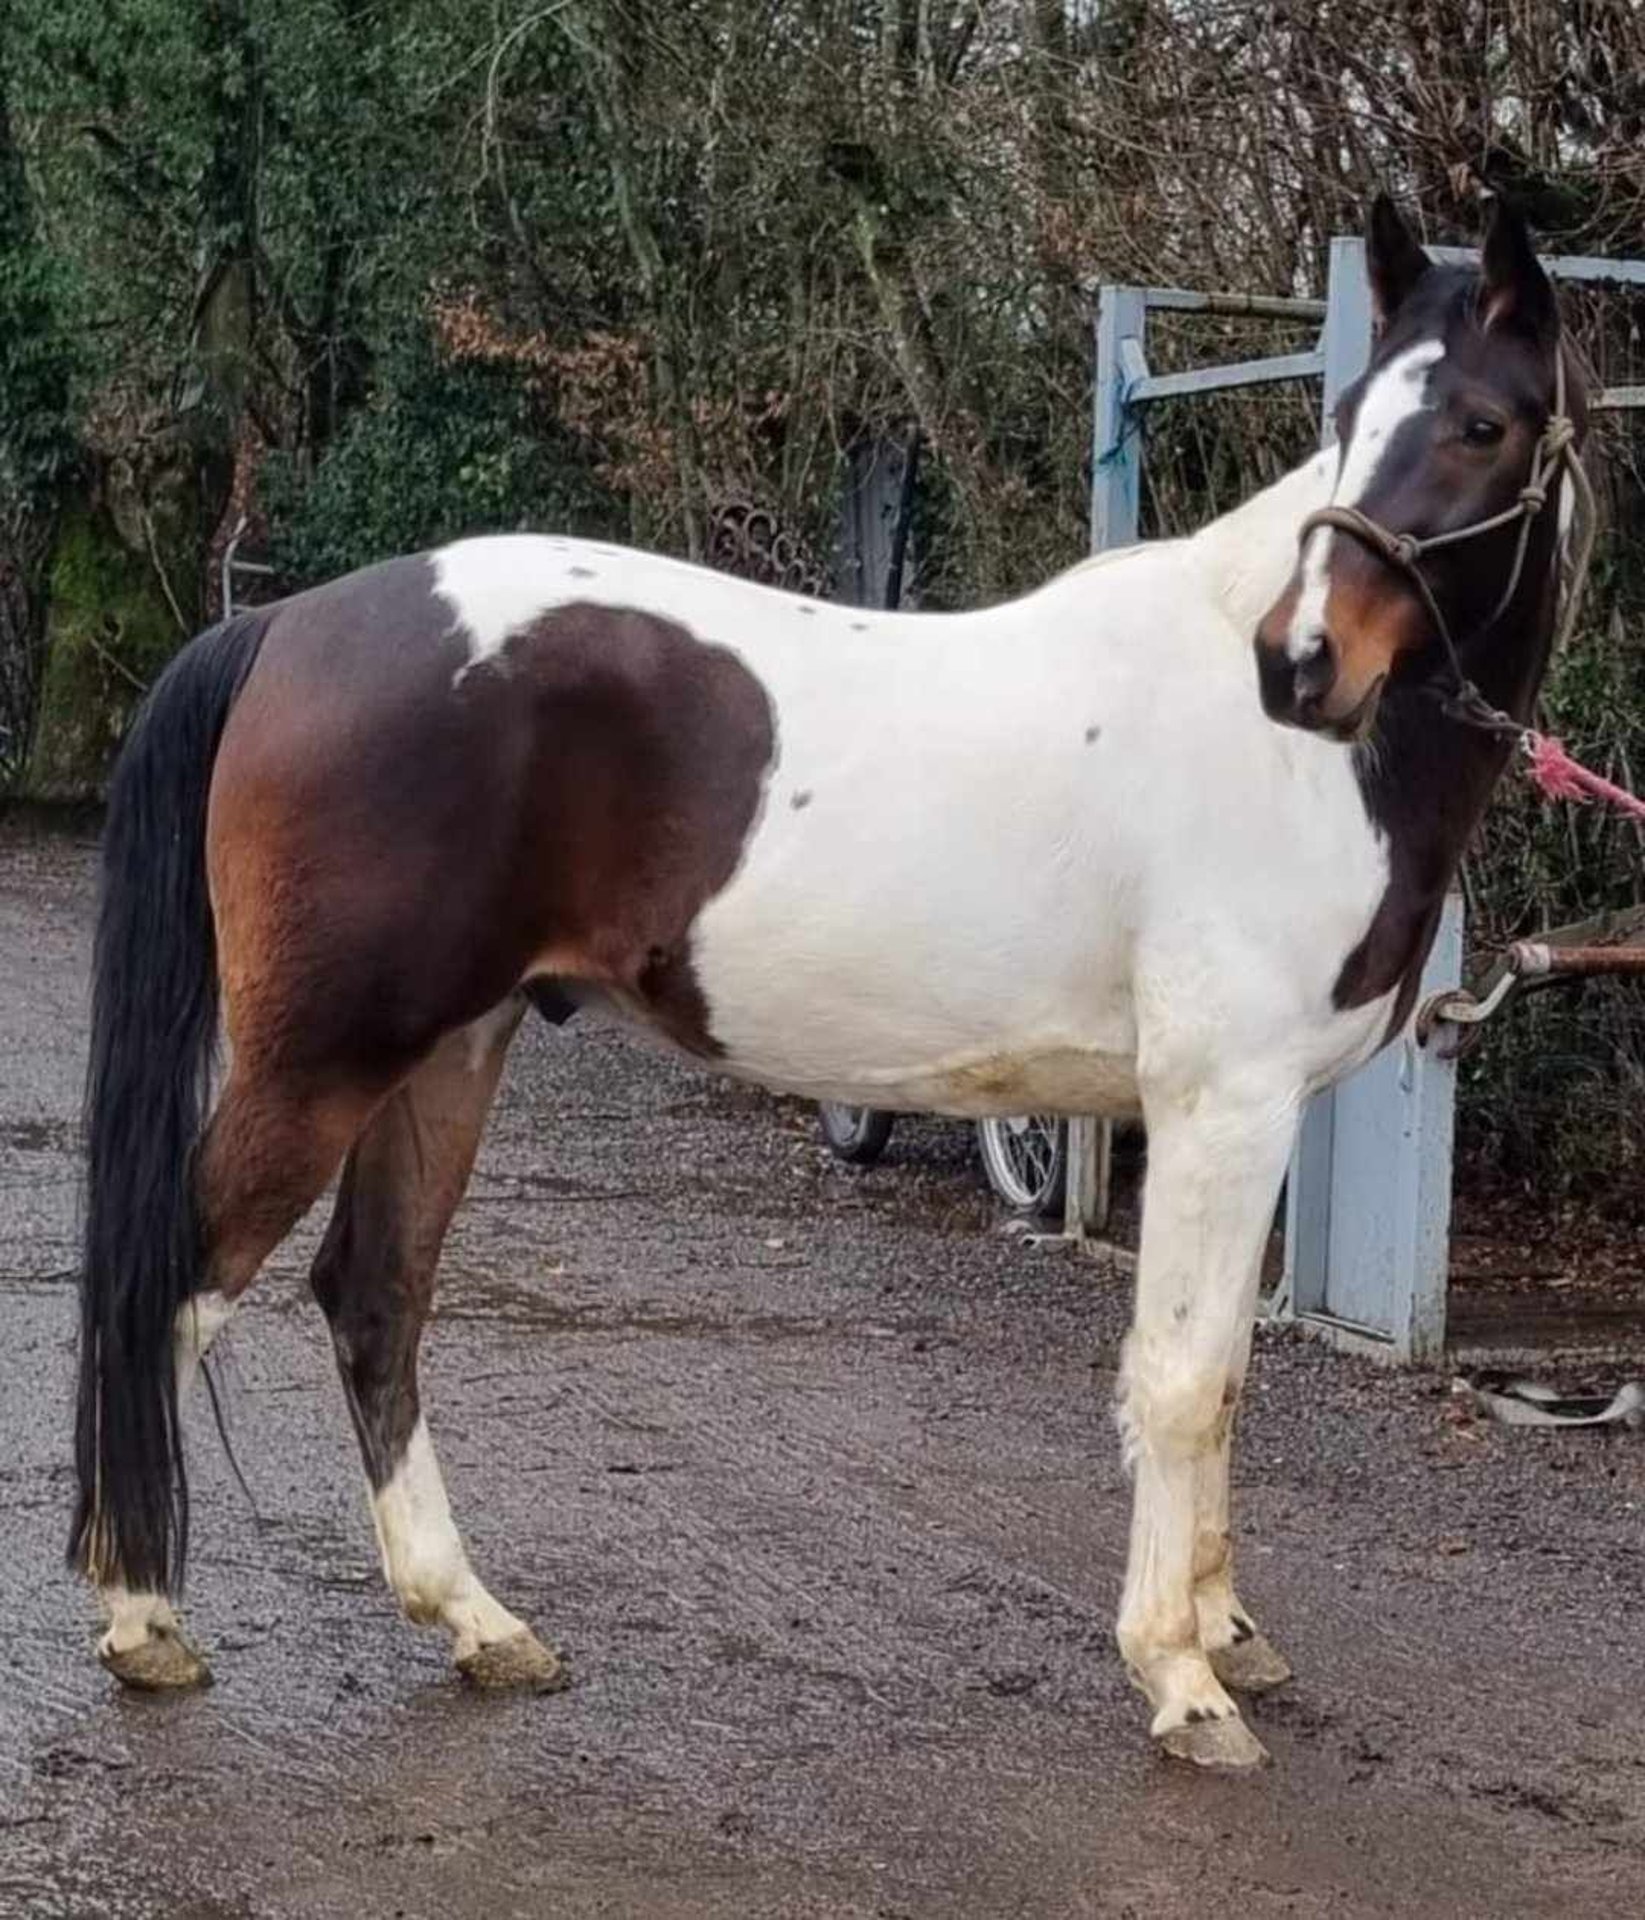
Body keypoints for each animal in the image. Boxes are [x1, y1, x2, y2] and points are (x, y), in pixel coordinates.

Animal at [70, 197, 1587, 1770]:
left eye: (1479, 423)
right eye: (1347, 422)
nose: (1299, 666)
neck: (1301, 760)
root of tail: (289, 626)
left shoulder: (1256, 1111)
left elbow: (1226, 1372)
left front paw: (1227, 1631)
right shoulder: (1218, 1102)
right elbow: (1177, 1381)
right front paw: (1181, 1677)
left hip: (448, 1051)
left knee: (373, 1299)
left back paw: (477, 1624)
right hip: (327, 1061)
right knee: (179, 1280)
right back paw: (144, 1621)